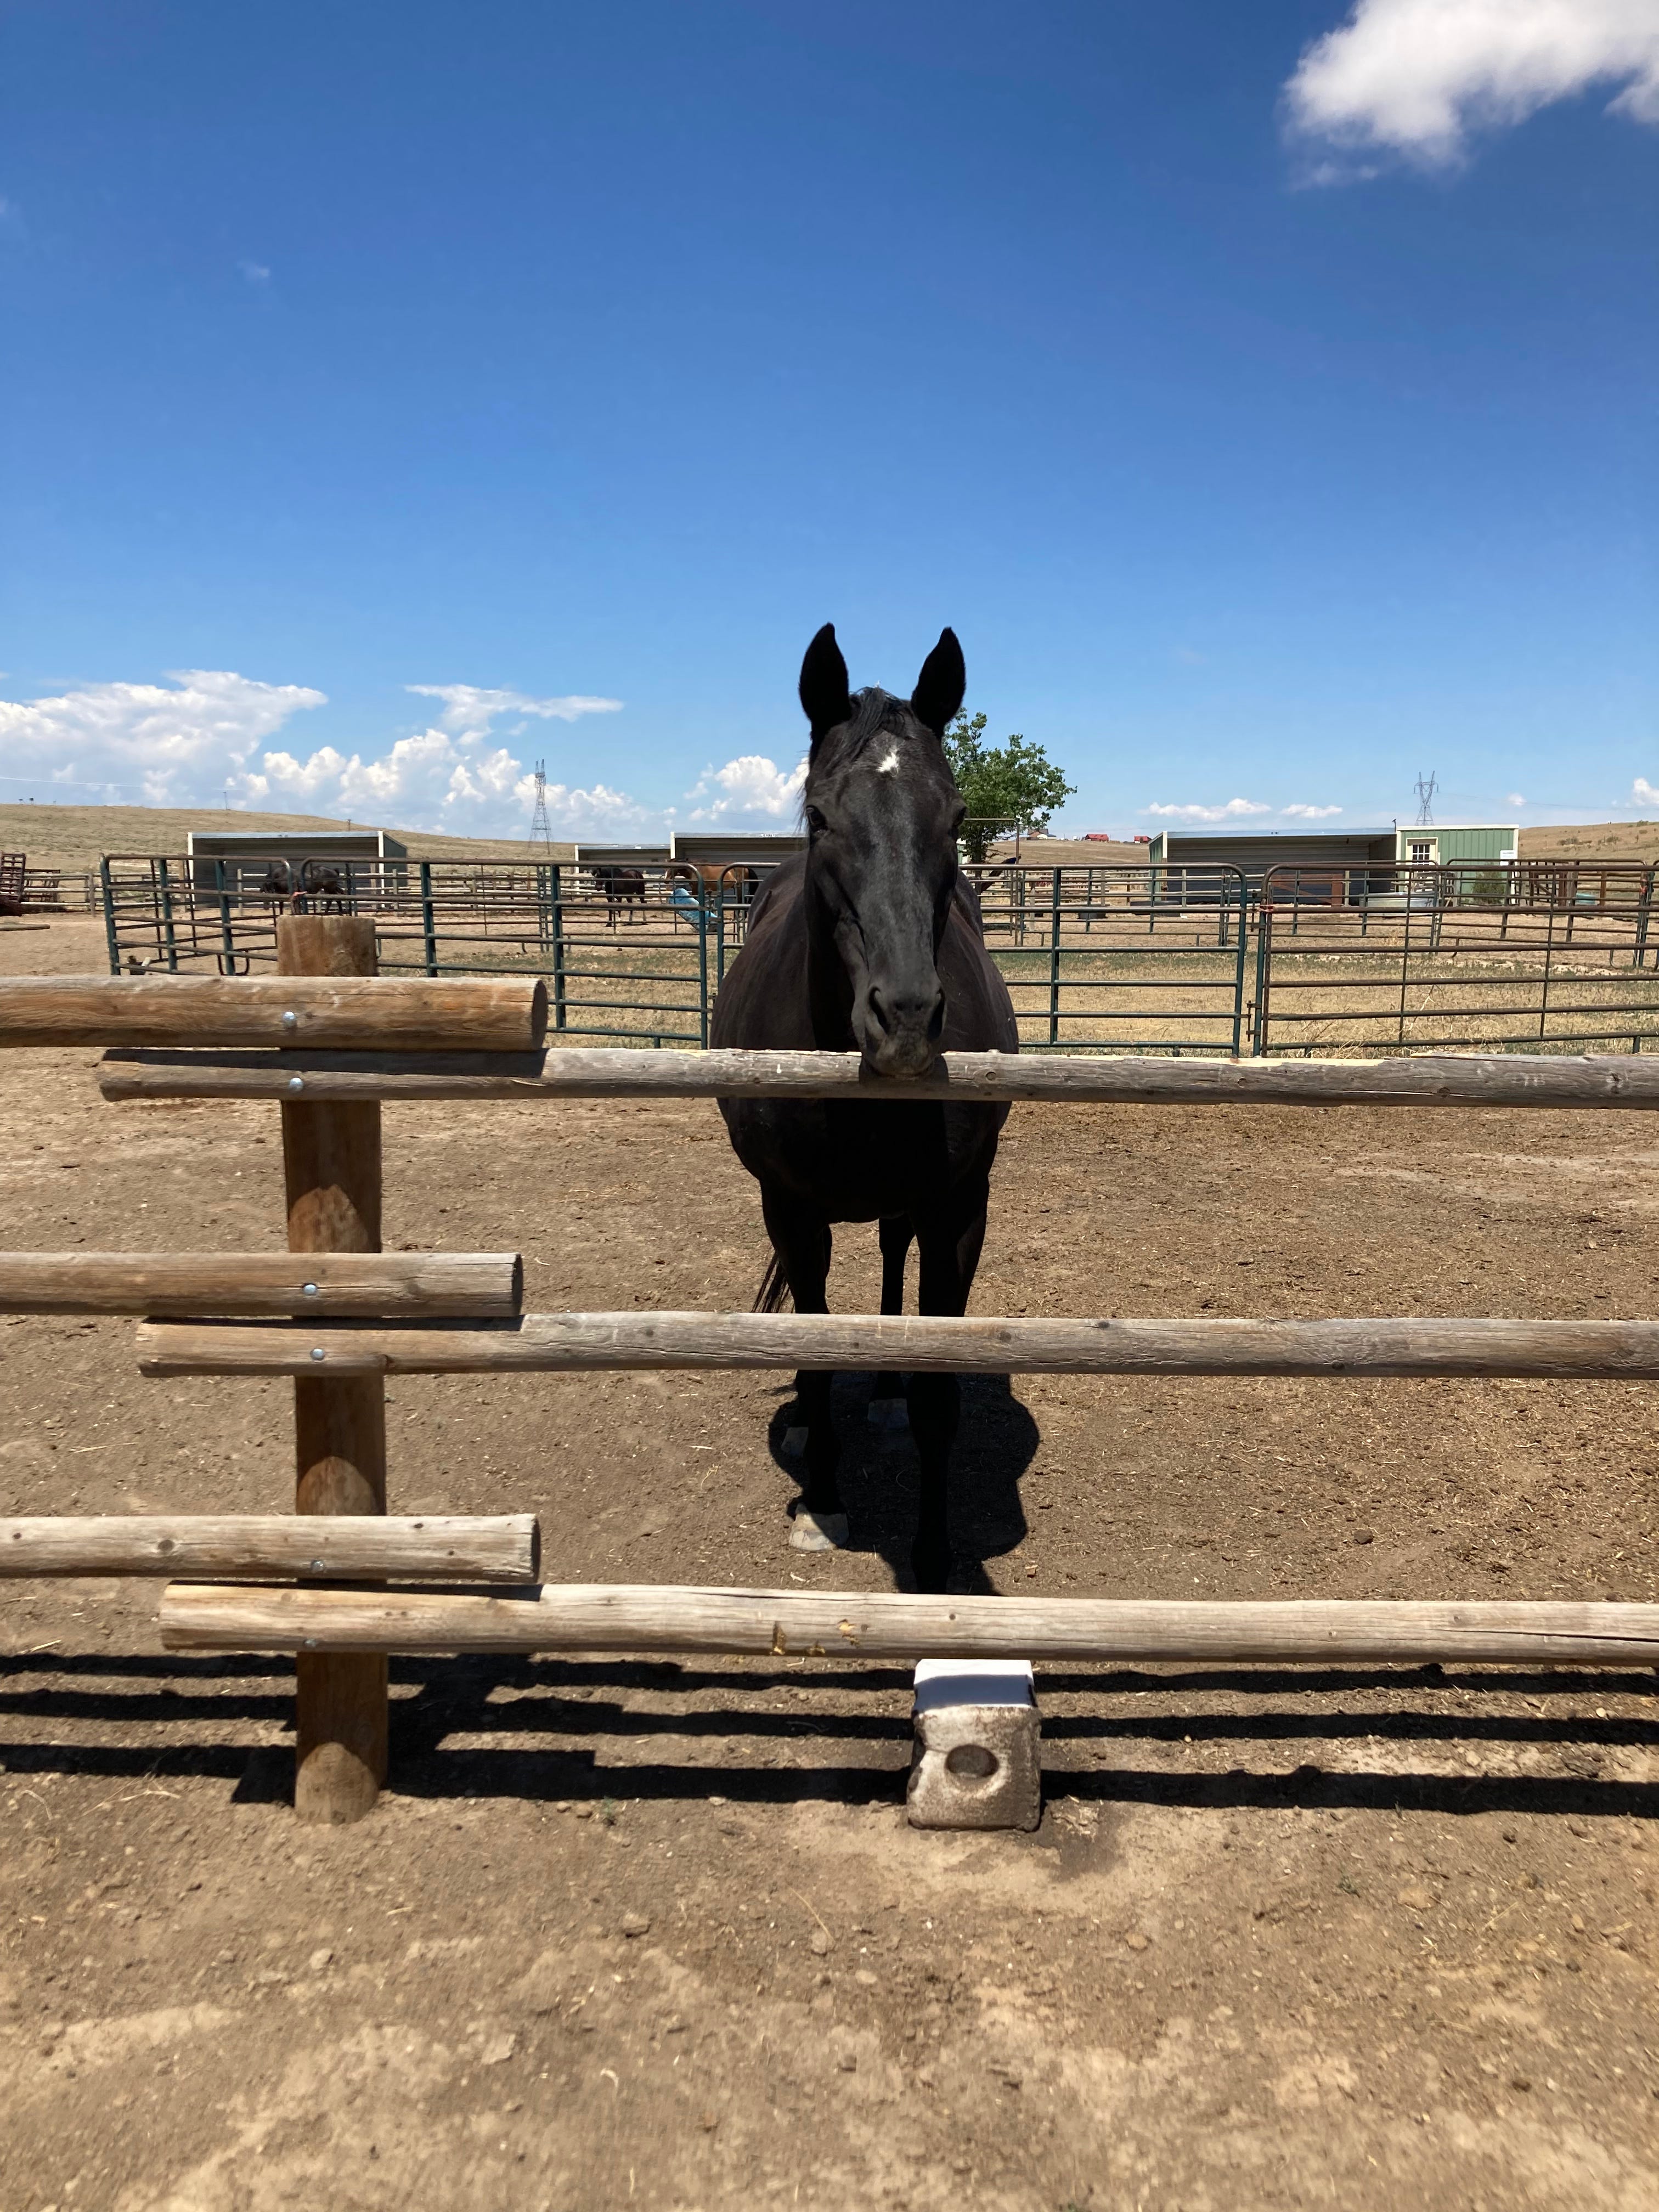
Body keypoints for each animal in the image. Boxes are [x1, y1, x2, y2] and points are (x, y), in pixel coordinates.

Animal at [710, 623, 1018, 1592]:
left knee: (889, 1260)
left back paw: (881, 1392)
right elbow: (814, 1354)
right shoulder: (791, 1211)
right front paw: (823, 1500)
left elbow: (937, 1392)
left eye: (955, 818)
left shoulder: (959, 1210)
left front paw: (932, 1553)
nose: (908, 1018)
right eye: (819, 816)